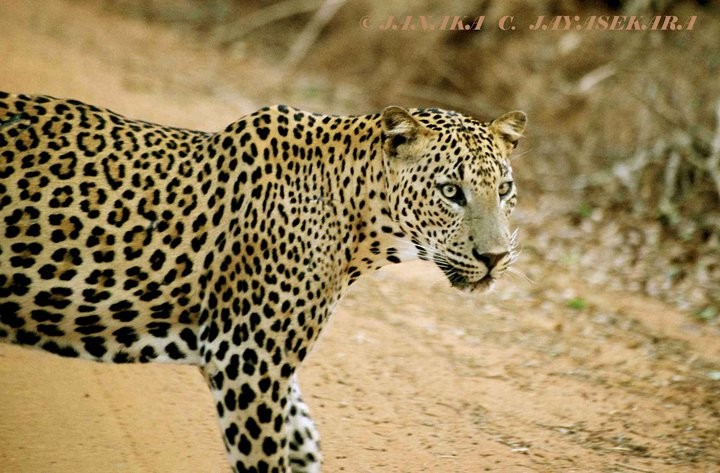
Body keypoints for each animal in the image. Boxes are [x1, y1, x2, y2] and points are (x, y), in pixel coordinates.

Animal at [0, 91, 526, 473]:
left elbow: (304, 442)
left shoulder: (262, 363)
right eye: (450, 191)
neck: (361, 224)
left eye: (504, 189)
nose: (495, 257)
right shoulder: (247, 358)